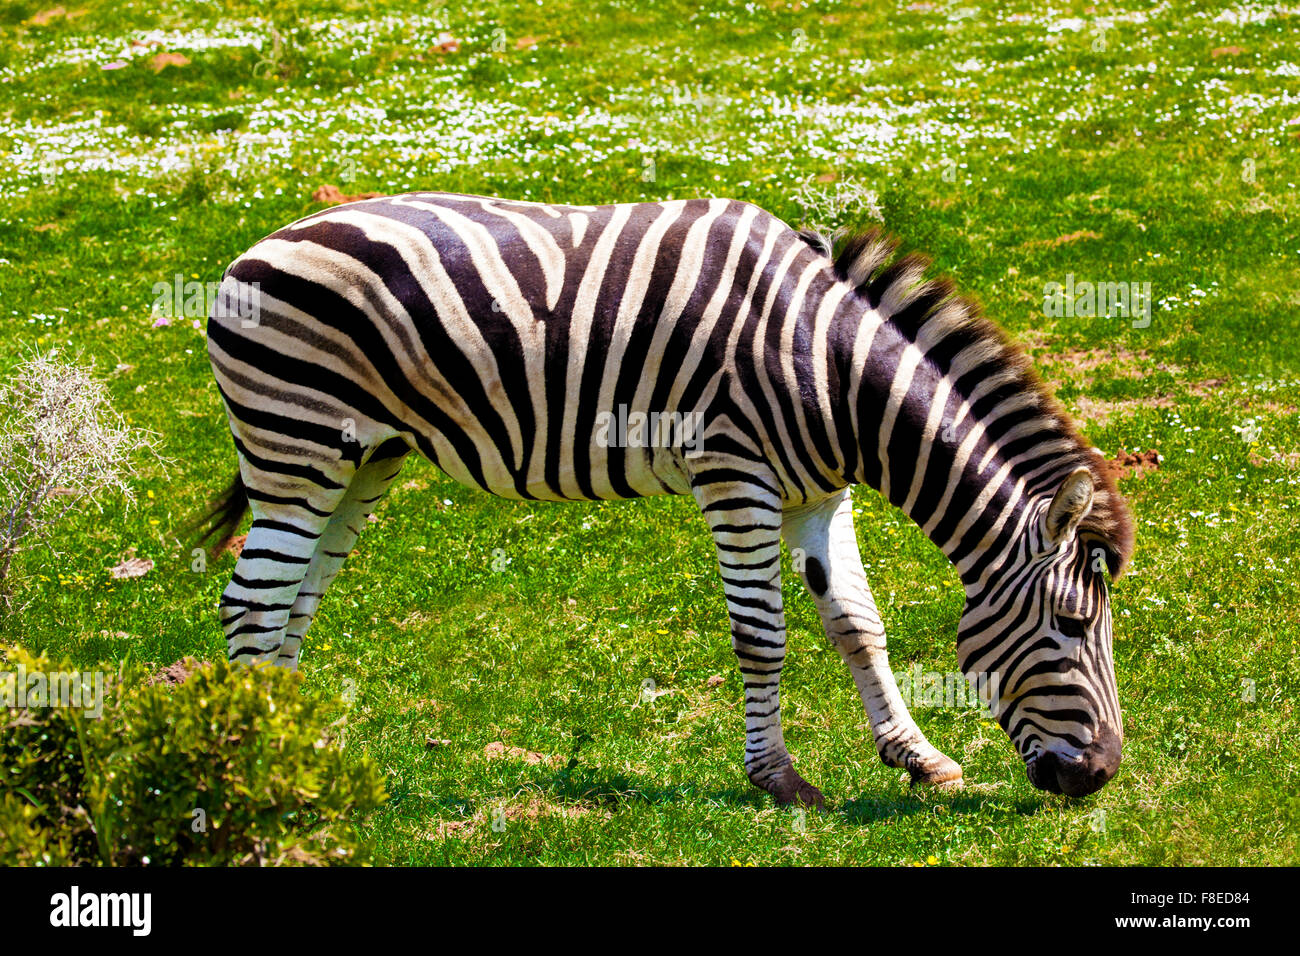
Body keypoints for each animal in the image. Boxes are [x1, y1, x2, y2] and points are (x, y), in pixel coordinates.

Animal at [201, 192, 1134, 806]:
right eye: (1073, 625)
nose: (1098, 778)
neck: (830, 371)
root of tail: (252, 252)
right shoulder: (734, 474)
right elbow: (763, 637)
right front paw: (779, 779)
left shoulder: (820, 494)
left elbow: (856, 624)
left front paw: (919, 757)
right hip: (298, 448)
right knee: (253, 604)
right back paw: (258, 770)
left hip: (364, 459)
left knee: (296, 600)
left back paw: (298, 747)